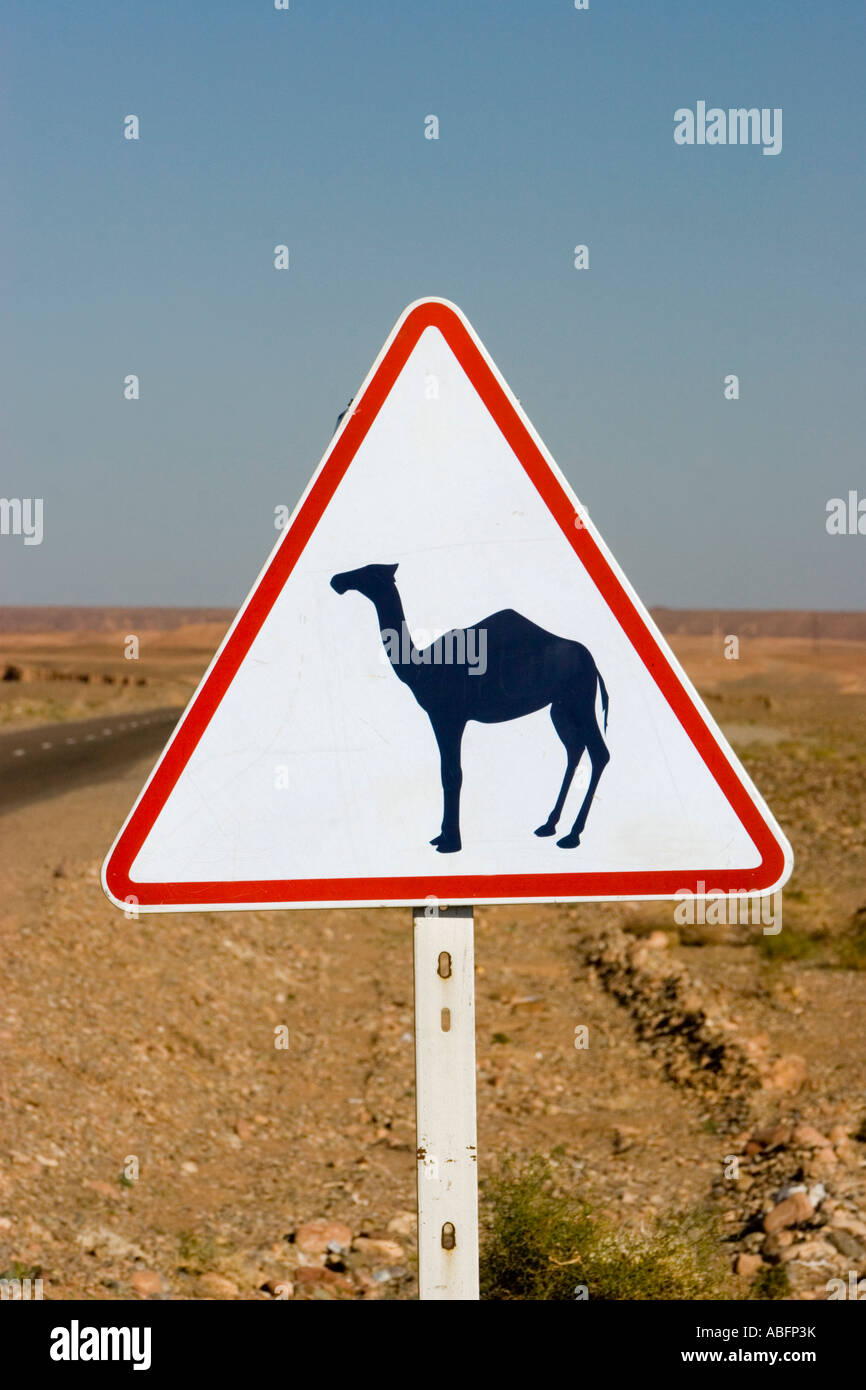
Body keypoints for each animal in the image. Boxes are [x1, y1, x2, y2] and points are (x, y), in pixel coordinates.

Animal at [330, 563, 610, 853]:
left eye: (371, 572)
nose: (337, 580)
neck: (422, 668)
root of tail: (594, 664)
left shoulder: (449, 717)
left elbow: (452, 774)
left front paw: (450, 841)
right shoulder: (443, 718)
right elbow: (447, 772)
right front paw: (441, 836)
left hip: (581, 700)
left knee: (599, 753)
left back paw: (572, 835)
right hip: (560, 707)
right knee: (574, 750)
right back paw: (549, 826)